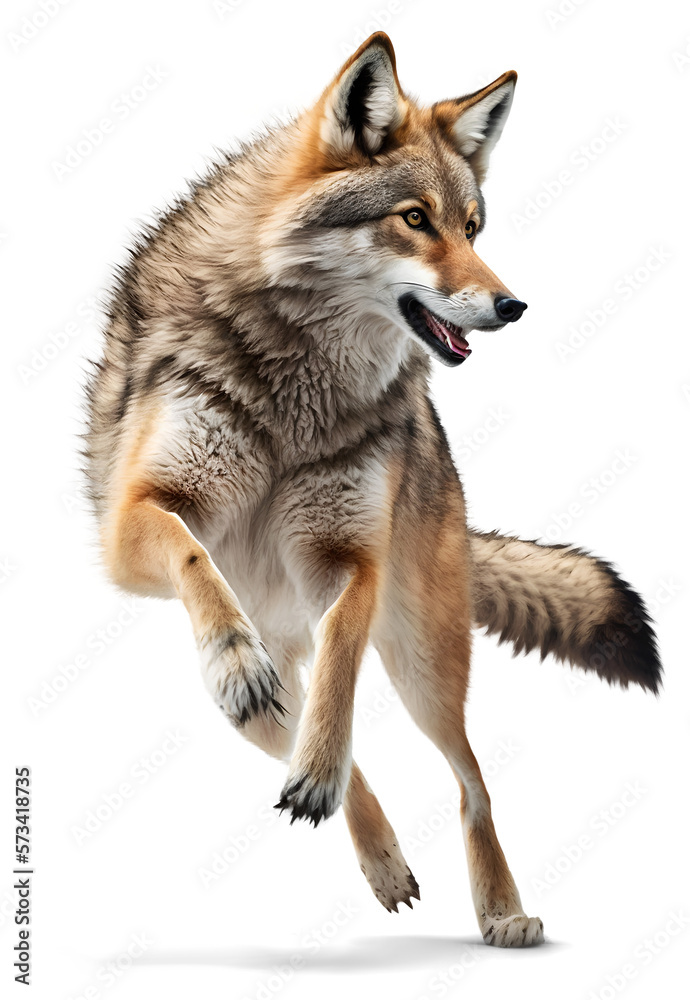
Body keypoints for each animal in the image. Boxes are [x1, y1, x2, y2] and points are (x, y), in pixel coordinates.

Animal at [83, 32, 661, 947]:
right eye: (414, 219)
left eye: (472, 227)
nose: (514, 304)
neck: (298, 389)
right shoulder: (137, 518)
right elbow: (192, 554)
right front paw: (235, 659)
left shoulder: (348, 558)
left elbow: (345, 658)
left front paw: (323, 760)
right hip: (276, 694)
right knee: (295, 725)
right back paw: (375, 849)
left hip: (425, 659)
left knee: (470, 781)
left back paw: (500, 911)